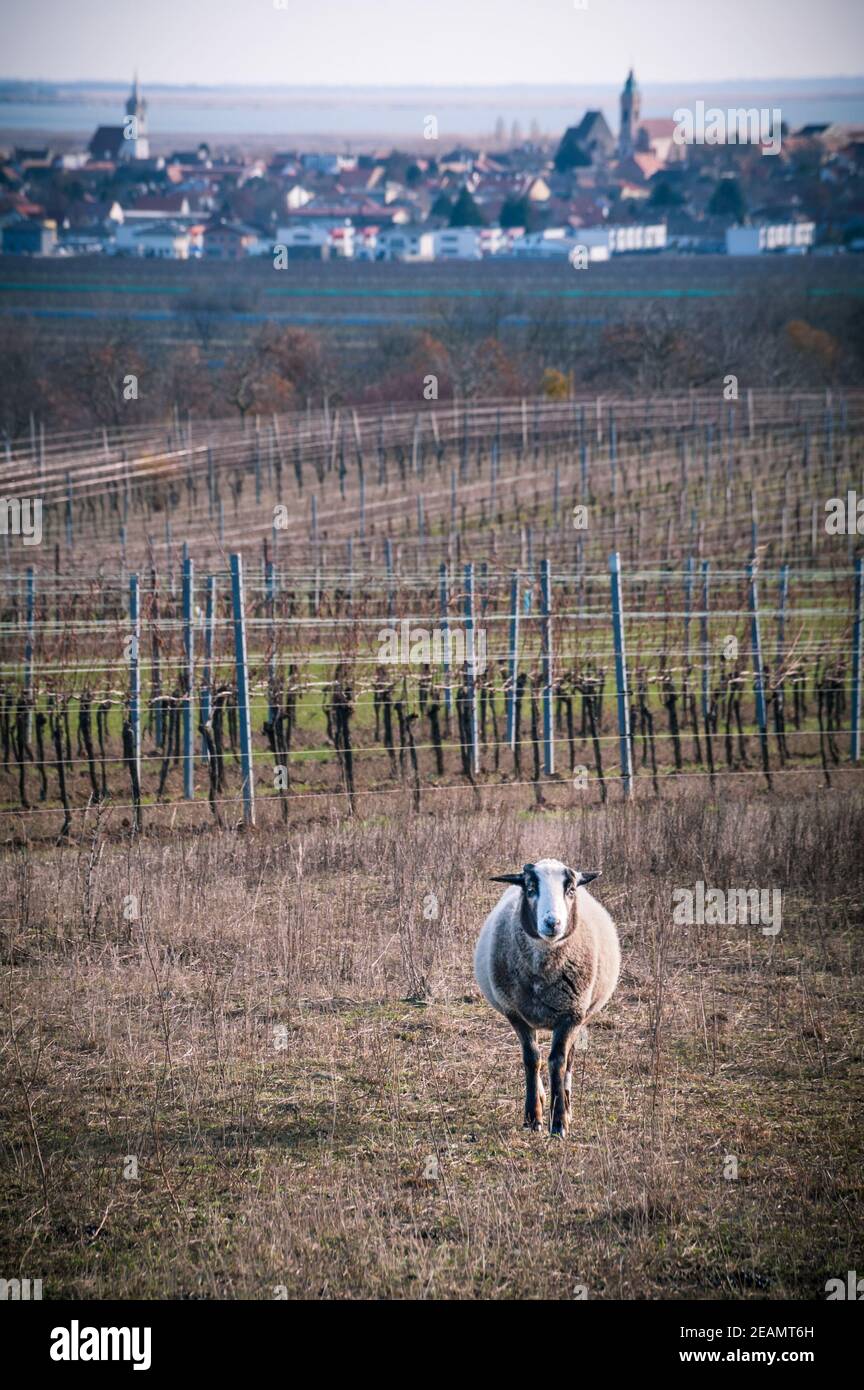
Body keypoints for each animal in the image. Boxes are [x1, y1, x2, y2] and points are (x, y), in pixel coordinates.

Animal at [474, 858, 620, 1138]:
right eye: (530, 888)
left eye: (570, 889)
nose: (553, 923)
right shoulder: (515, 1014)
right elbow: (532, 1059)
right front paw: (534, 1117)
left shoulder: (571, 1015)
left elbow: (558, 1062)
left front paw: (559, 1121)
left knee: (568, 1060)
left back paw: (567, 1104)